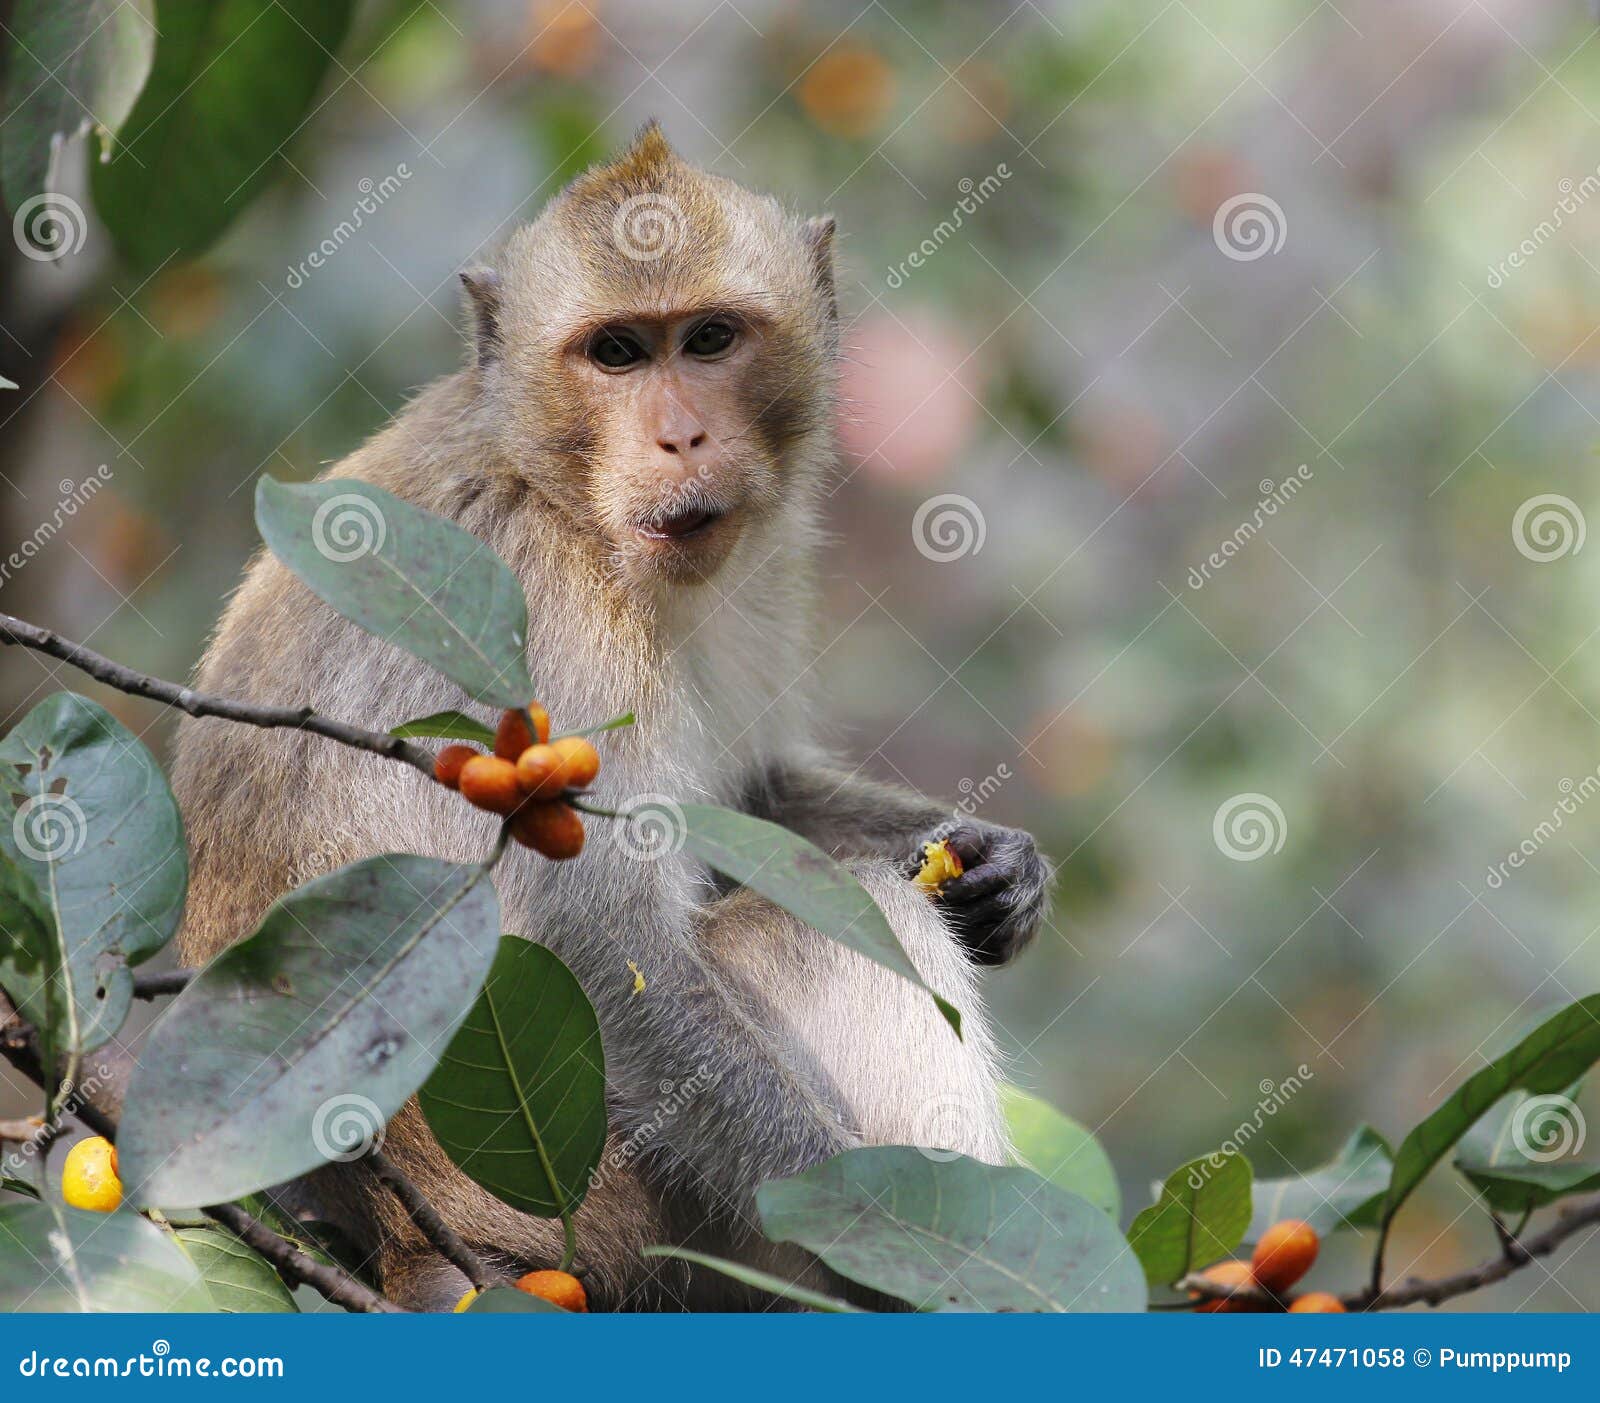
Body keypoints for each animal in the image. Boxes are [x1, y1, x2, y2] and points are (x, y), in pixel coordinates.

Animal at [169, 124, 1051, 1312]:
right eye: (618, 353)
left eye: (710, 339)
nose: (681, 437)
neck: (559, 489)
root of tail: (401, 1241)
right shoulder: (548, 616)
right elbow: (599, 946)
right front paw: (884, 1229)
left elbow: (749, 797)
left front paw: (997, 862)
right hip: (603, 1209)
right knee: (843, 917)